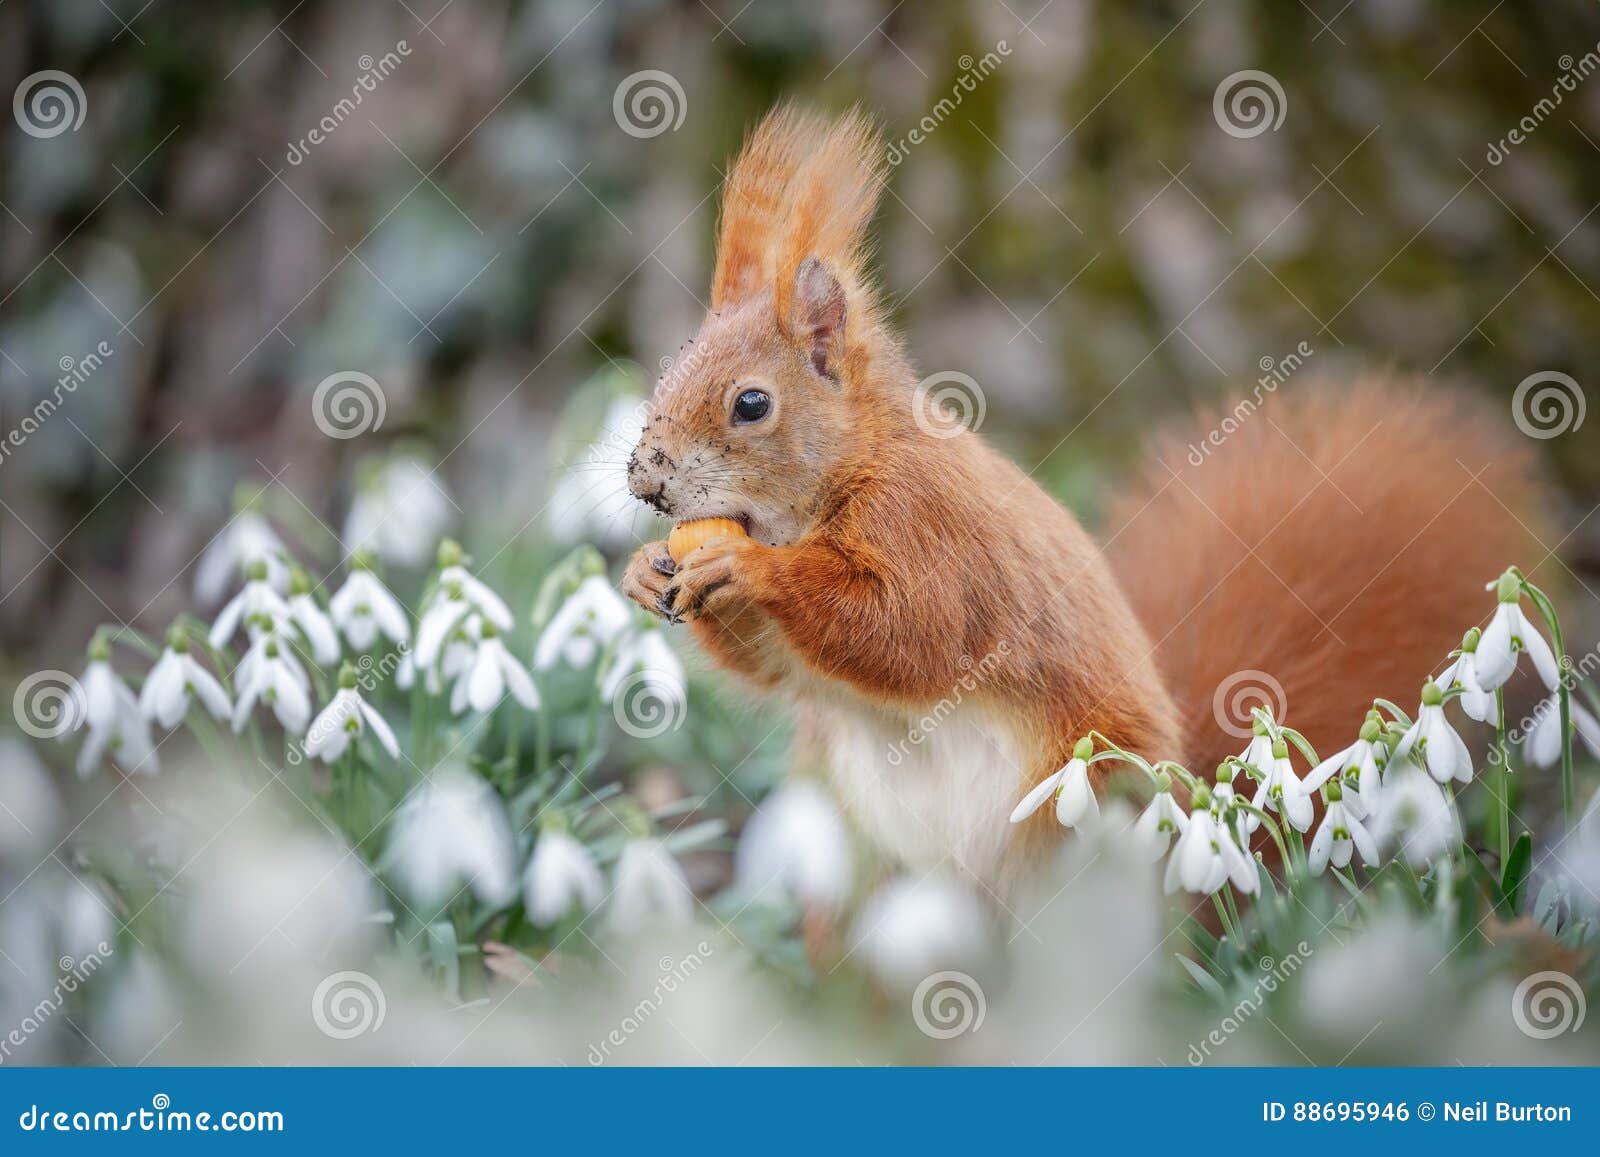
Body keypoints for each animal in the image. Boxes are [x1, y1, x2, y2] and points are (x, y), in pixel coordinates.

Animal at [620, 106, 1544, 892]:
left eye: (751, 404)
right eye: (671, 364)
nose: (646, 477)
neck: (837, 481)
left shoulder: (931, 528)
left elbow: (906, 628)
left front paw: (746, 566)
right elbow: (777, 664)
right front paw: (642, 569)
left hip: (1077, 822)